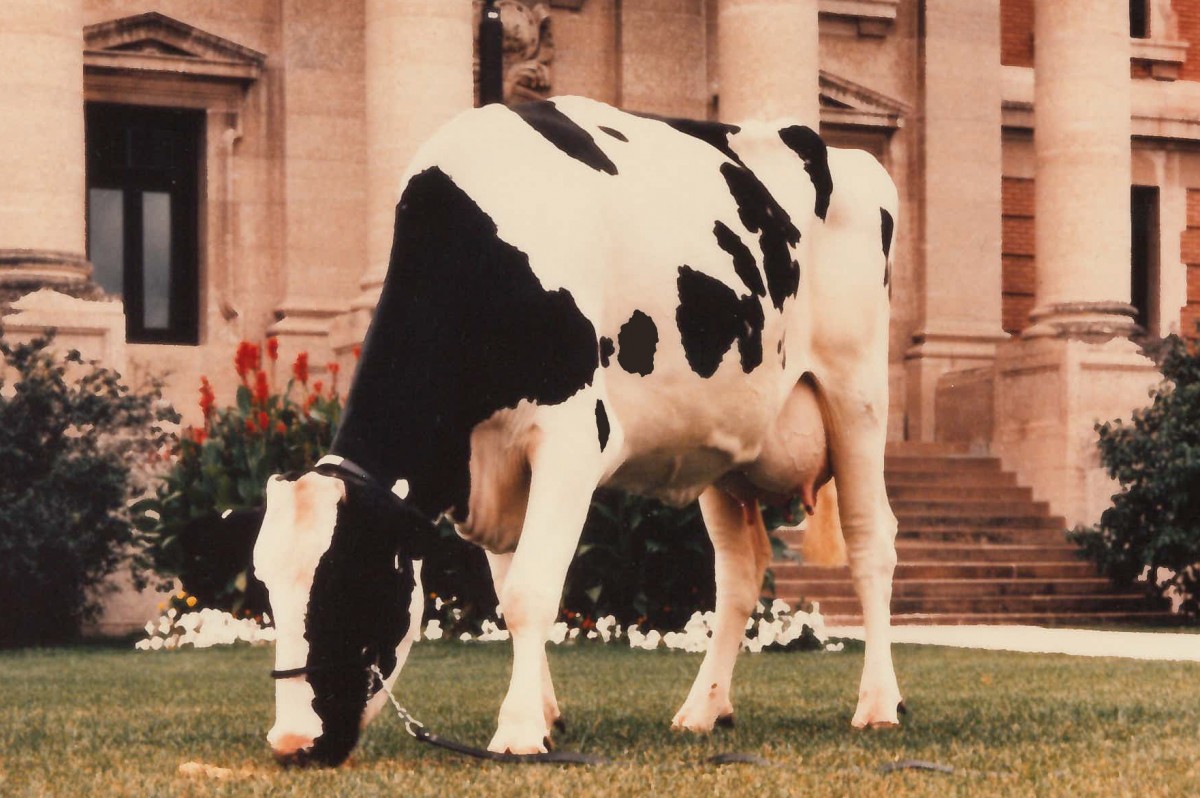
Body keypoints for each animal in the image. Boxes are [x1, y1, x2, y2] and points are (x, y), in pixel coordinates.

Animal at [251, 95, 902, 767]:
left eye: (349, 580)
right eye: (267, 588)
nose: (292, 742)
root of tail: (840, 152)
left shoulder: (571, 439)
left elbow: (530, 591)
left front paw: (516, 732)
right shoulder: (493, 464)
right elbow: (507, 589)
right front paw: (542, 715)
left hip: (857, 397)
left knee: (870, 542)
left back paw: (878, 706)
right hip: (728, 442)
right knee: (739, 577)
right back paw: (703, 710)